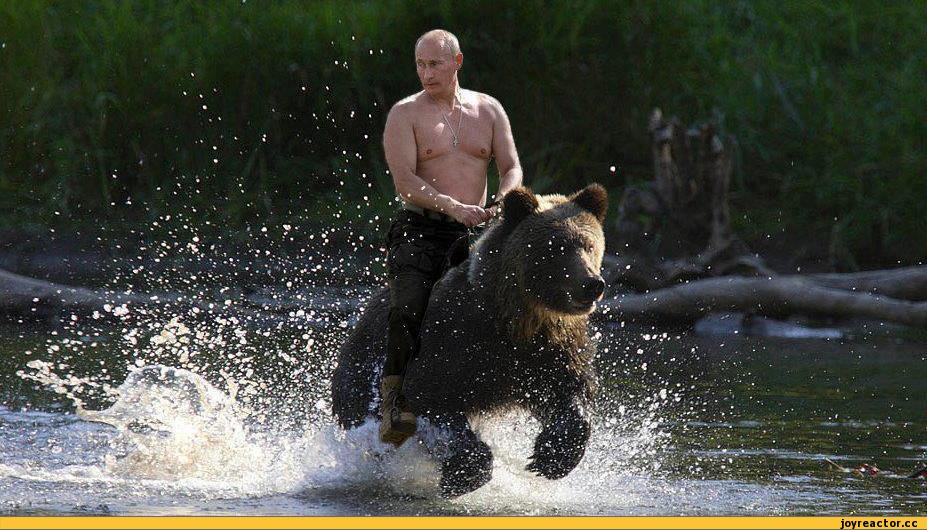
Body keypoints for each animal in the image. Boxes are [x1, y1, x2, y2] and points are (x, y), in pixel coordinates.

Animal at [331, 183, 608, 498]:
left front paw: (550, 457)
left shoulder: (548, 349)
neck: (515, 319)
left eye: (589, 244)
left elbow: (569, 391)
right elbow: (431, 396)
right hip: (364, 371)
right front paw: (462, 475)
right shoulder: (454, 340)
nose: (592, 283)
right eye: (556, 247)